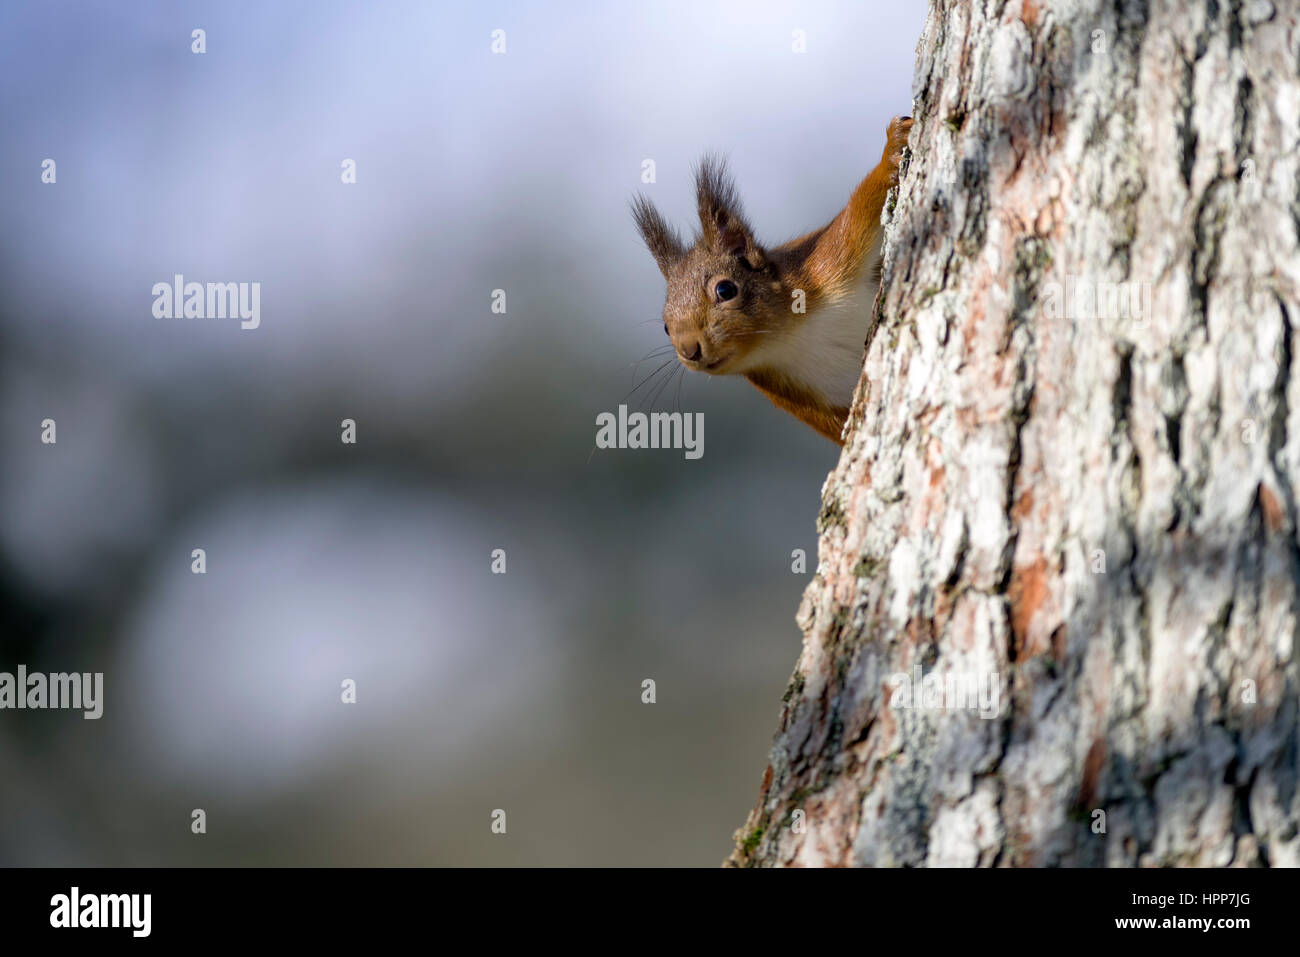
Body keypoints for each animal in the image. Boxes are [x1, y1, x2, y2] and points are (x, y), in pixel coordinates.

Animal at [632, 116, 913, 445]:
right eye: (665, 326)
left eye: (725, 289)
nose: (689, 350)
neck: (786, 340)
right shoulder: (804, 401)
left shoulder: (827, 262)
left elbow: (858, 212)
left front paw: (891, 150)